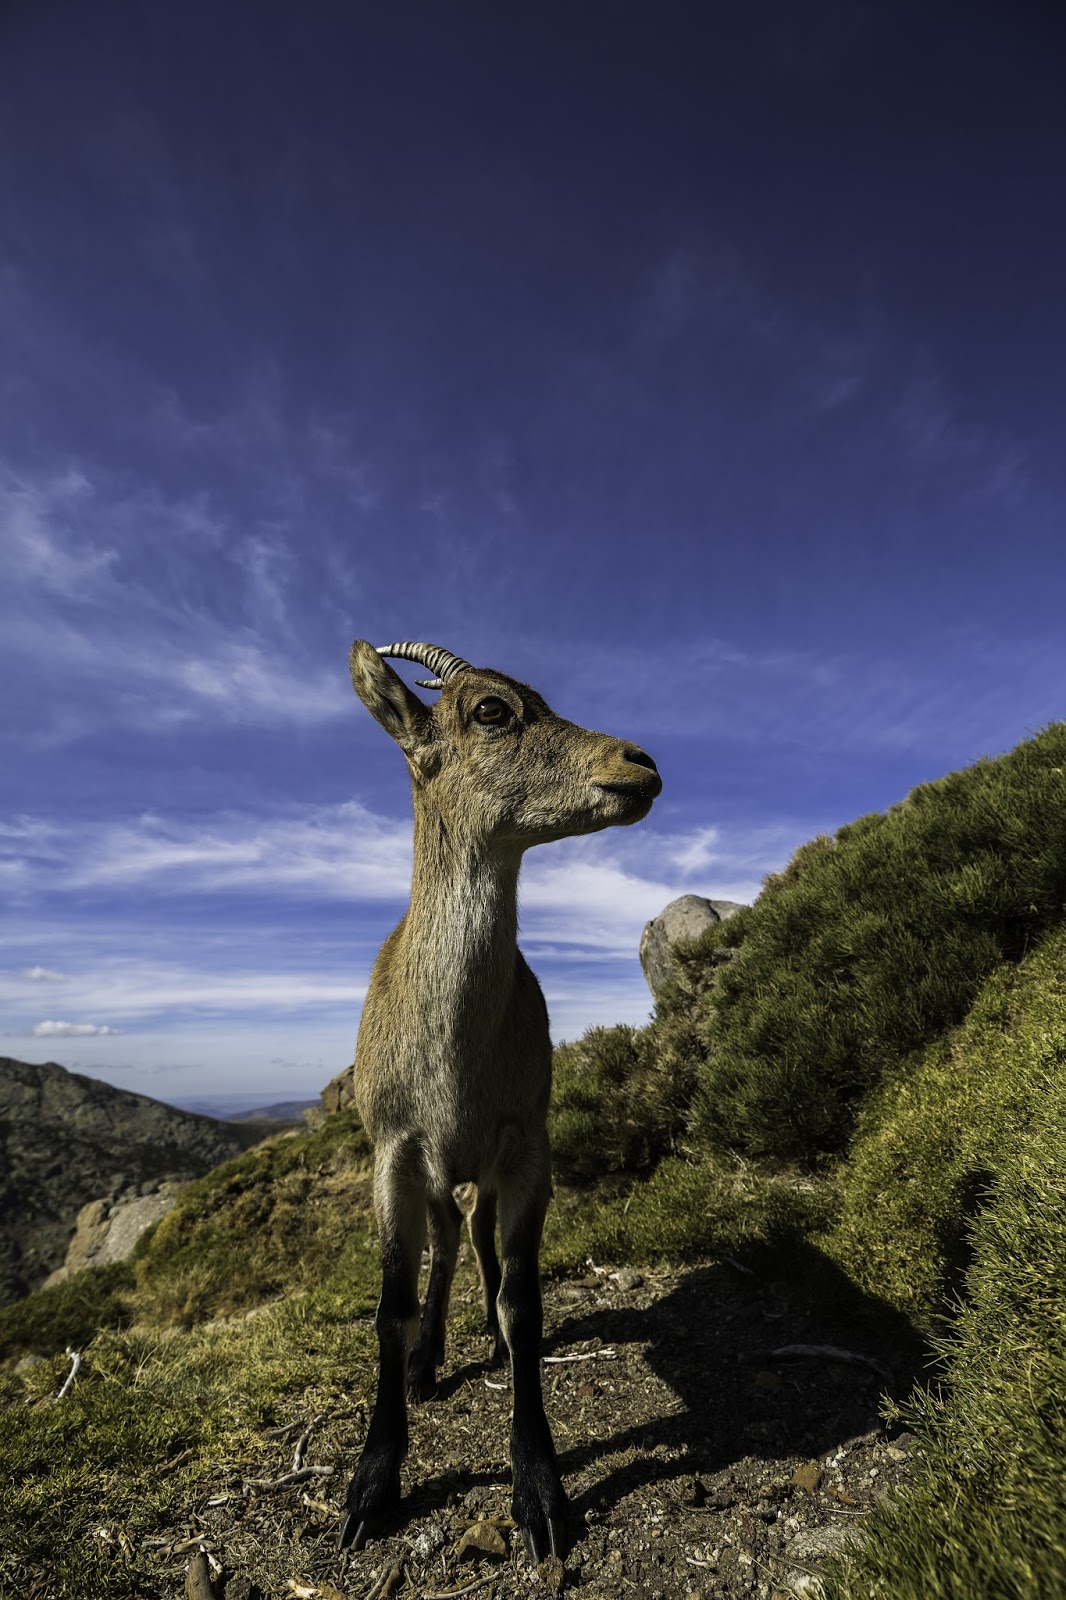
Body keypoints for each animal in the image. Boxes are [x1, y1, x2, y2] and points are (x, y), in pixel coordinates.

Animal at [339, 638, 661, 1563]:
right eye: (491, 710)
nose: (640, 764)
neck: (452, 1060)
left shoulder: (525, 1146)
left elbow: (524, 1302)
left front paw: (540, 1493)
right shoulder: (395, 1150)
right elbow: (390, 1308)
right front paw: (372, 1486)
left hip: (479, 1162)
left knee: (475, 1237)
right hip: (437, 1167)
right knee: (448, 1242)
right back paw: (429, 1360)